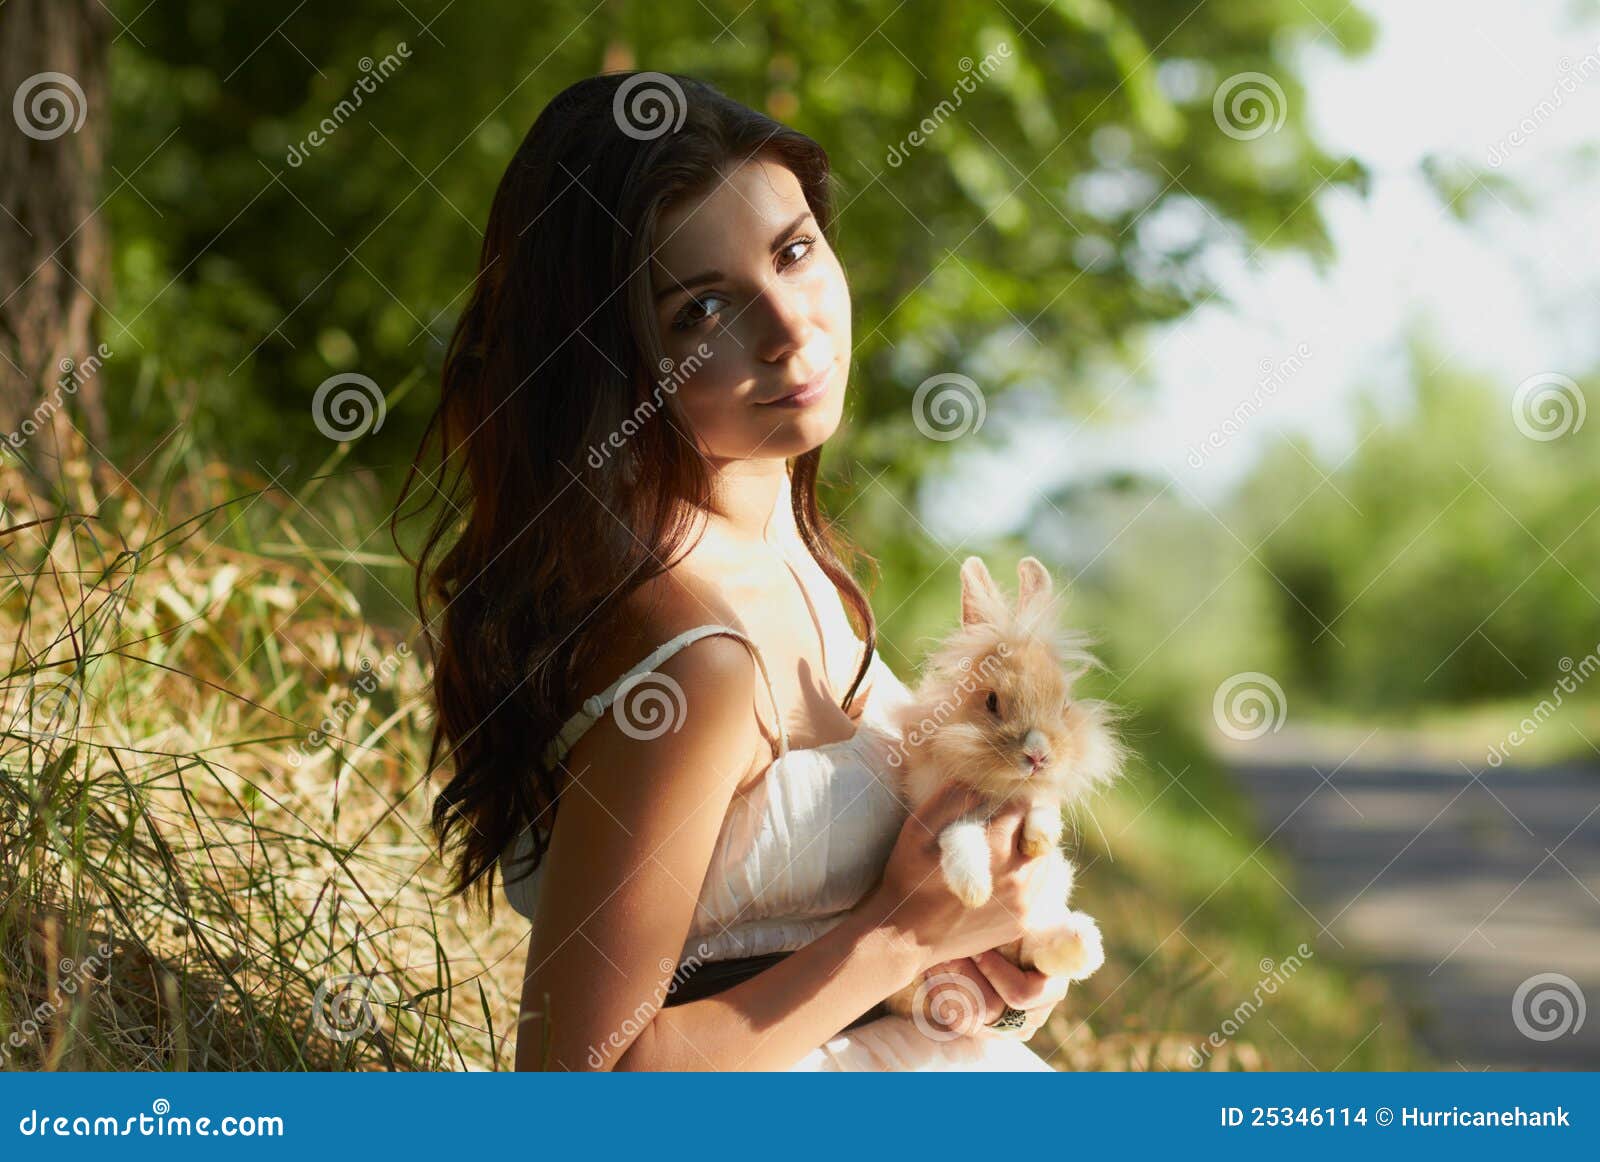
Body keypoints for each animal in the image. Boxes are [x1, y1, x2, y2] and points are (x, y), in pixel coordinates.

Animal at [882, 555, 1126, 1026]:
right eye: (992, 701)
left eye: (1064, 706)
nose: (1038, 755)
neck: (1000, 787)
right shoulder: (937, 806)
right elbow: (959, 835)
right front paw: (974, 889)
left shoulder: (1034, 797)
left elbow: (1042, 805)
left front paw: (1039, 839)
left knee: (1034, 953)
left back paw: (1081, 944)